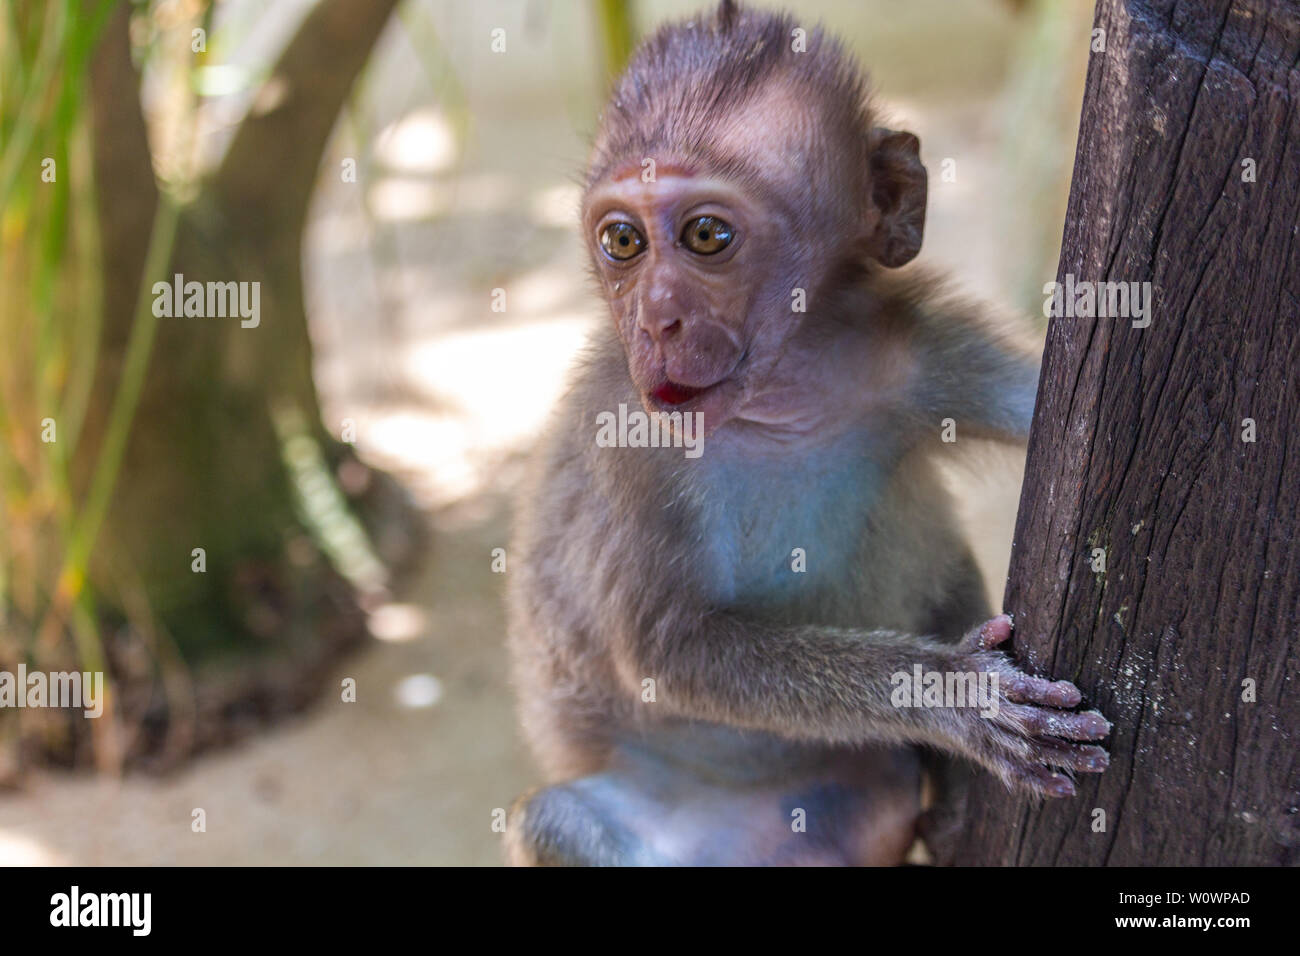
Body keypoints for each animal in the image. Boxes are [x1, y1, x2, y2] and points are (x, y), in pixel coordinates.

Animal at [504, 0, 1110, 866]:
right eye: (623, 241)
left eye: (707, 236)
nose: (655, 321)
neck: (784, 393)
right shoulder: (633, 443)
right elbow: (669, 653)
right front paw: (956, 695)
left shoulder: (919, 345)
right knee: (556, 821)